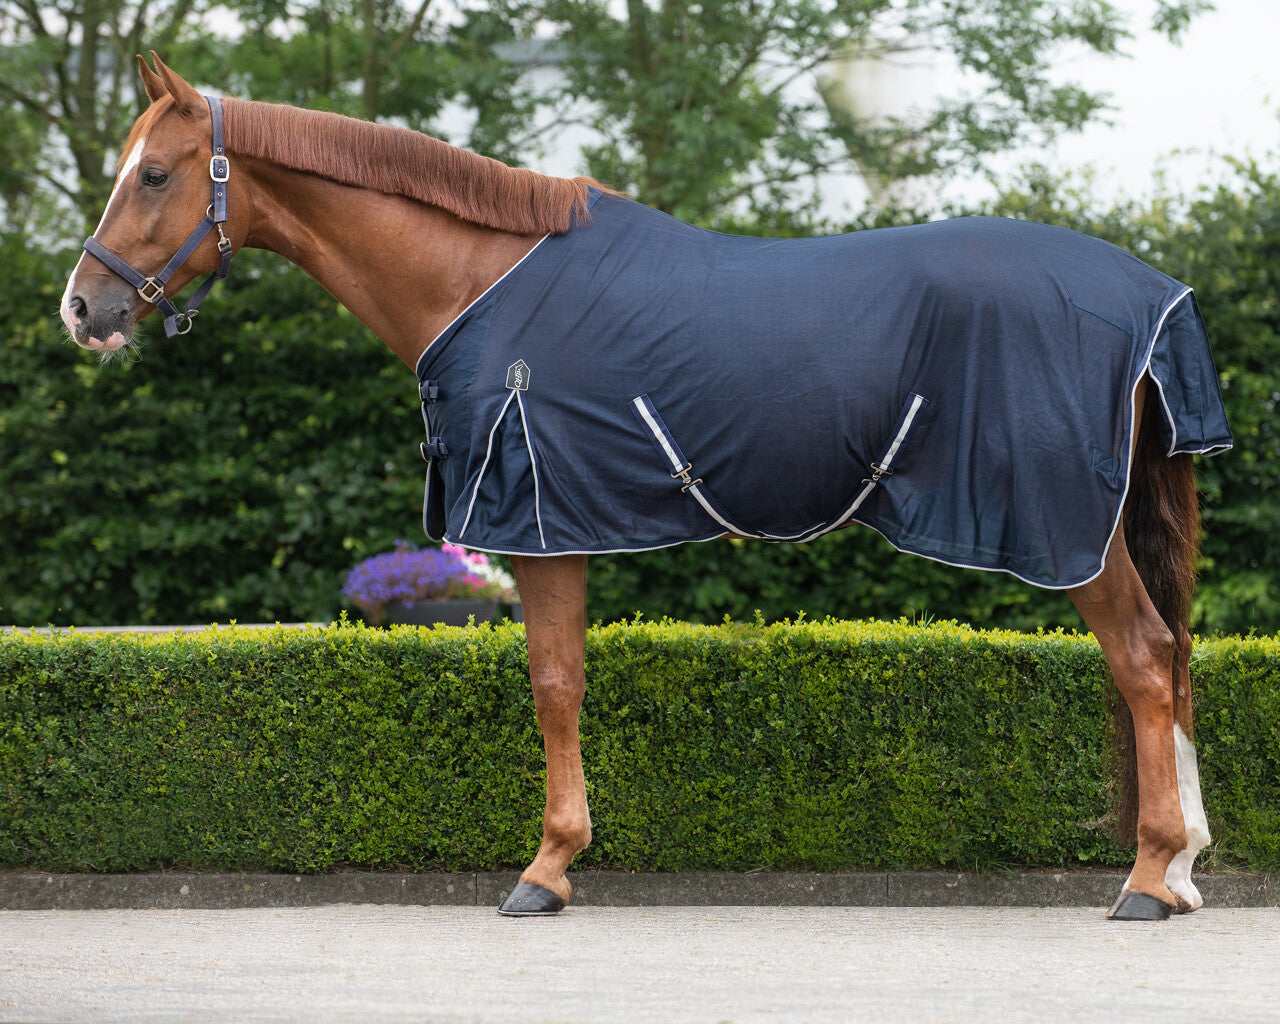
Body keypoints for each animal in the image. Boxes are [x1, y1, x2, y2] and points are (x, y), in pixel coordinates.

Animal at [61, 54, 1231, 921]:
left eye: (153, 175)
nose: (81, 309)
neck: (476, 279)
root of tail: (1152, 293)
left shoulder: (536, 529)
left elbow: (552, 685)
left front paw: (543, 871)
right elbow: (568, 680)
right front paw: (558, 861)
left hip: (1070, 531)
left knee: (1140, 659)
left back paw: (1145, 878)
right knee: (1171, 660)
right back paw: (1181, 873)